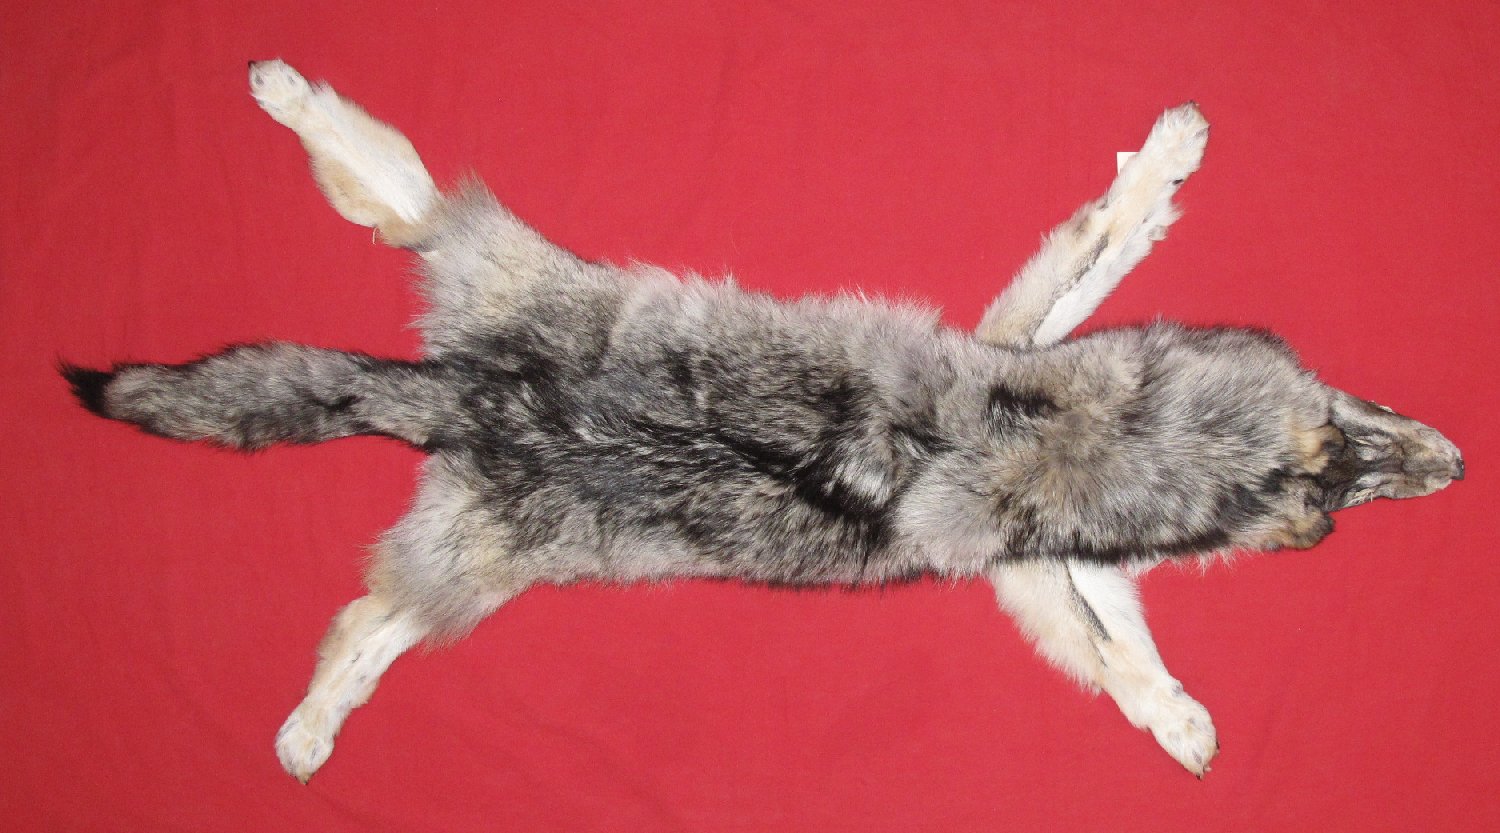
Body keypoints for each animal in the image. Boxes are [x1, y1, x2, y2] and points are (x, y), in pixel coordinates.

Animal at [61, 61, 1463, 782]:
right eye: (1345, 482)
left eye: (1363, 426)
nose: (1456, 459)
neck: (1054, 445)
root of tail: (458, 393)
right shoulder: (1033, 494)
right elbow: (1119, 659)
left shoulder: (1056, 555)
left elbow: (1124, 650)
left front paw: (1172, 712)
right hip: (482, 408)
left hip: (463, 479)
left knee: (363, 614)